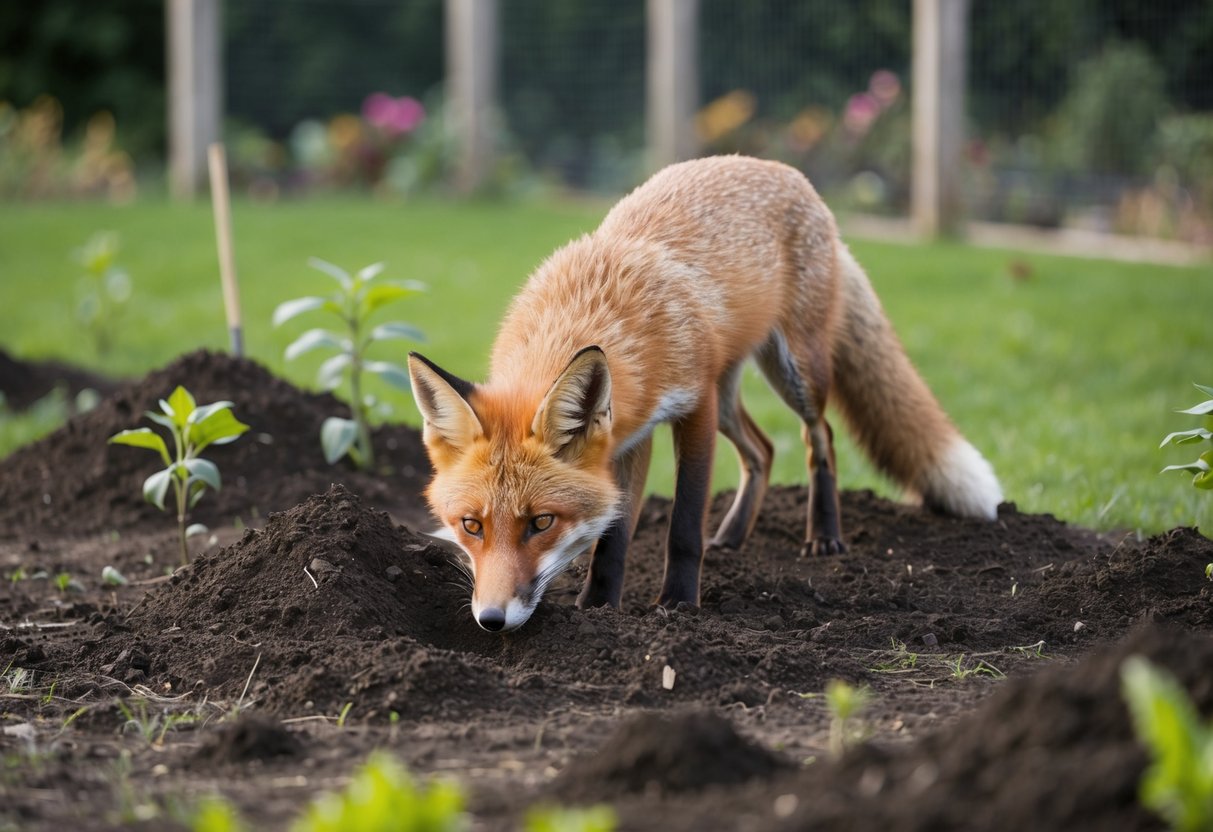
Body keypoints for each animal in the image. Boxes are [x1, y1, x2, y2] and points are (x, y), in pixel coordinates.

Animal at [407, 155, 1002, 633]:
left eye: (541, 522)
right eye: (471, 526)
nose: (491, 620)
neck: (597, 307)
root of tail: (783, 170)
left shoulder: (691, 408)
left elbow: (684, 526)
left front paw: (676, 606)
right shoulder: (631, 436)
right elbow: (613, 539)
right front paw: (600, 607)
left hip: (793, 373)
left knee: (822, 437)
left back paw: (824, 535)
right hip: (731, 395)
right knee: (764, 450)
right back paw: (735, 536)